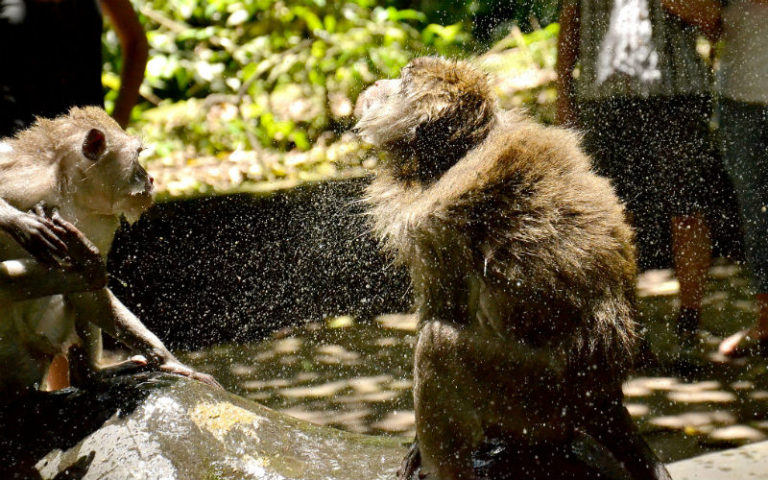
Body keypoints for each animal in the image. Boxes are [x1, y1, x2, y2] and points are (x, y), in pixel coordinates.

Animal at [0, 106, 218, 394]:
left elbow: (90, 298)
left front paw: (166, 359)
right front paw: (21, 223)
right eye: (137, 157)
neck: (68, 190)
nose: (151, 178)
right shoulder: (22, 173)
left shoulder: (101, 222)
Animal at [355, 57, 671, 480]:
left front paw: (417, 449)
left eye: (402, 80)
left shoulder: (433, 218)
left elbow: (443, 306)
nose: (378, 82)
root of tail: (604, 398)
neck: (460, 152)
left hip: (538, 400)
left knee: (438, 347)